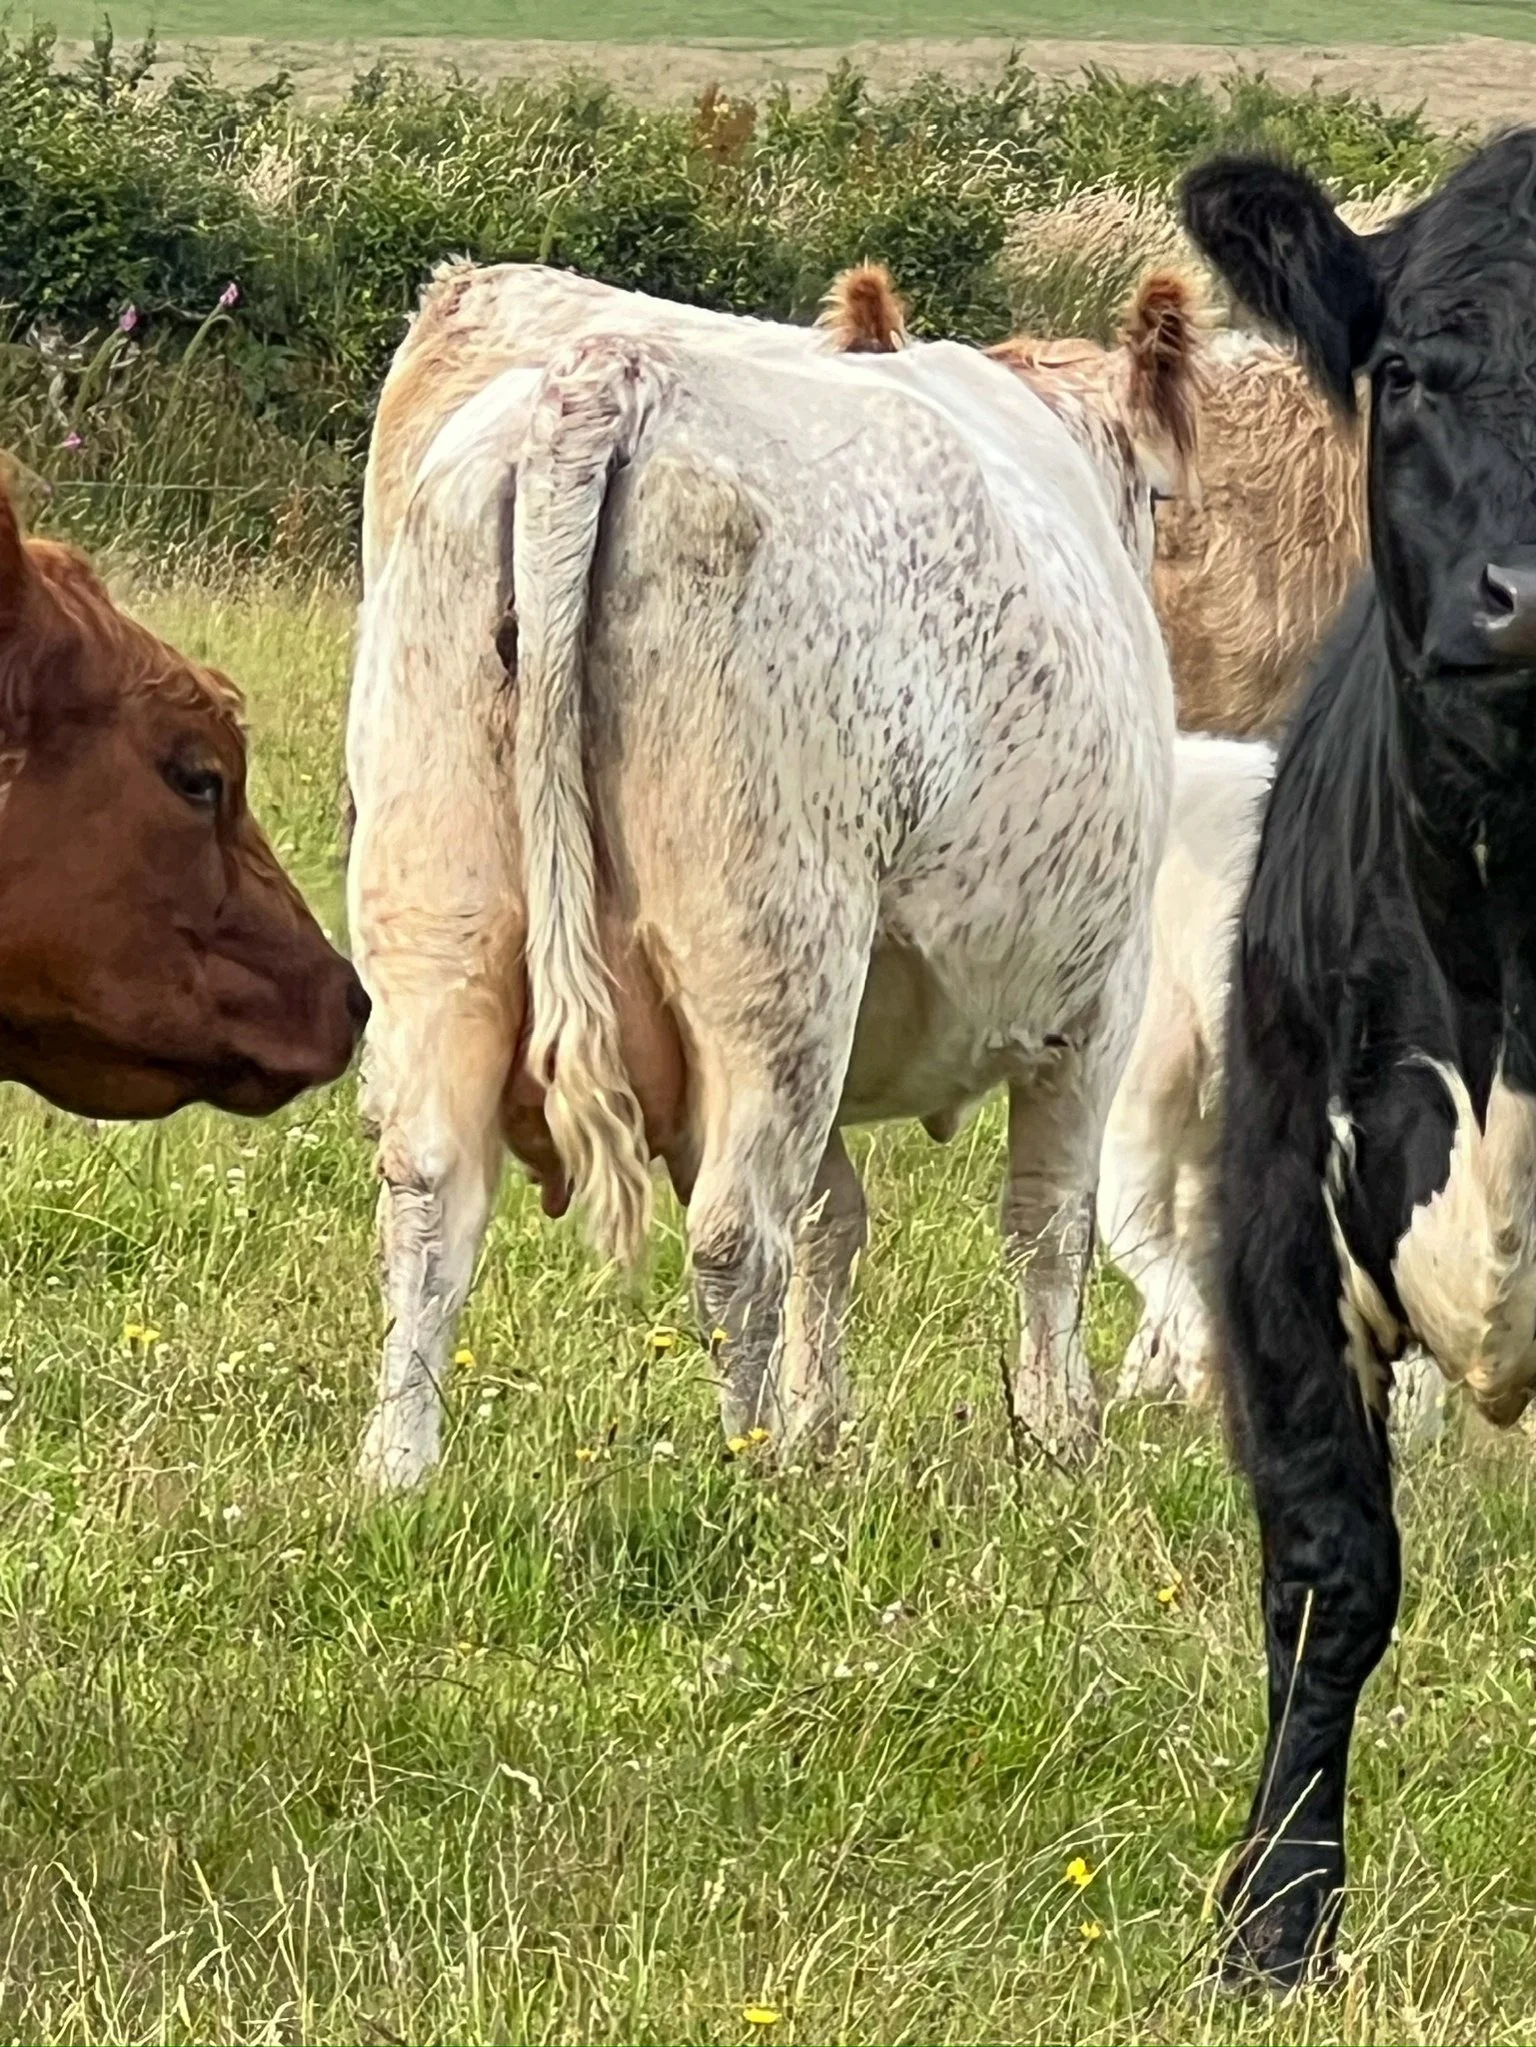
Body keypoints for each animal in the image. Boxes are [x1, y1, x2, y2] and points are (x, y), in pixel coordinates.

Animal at [345, 262, 1199, 1492]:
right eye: (1167, 499)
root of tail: (607, 377)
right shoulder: (1098, 1003)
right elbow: (1047, 1223)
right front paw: (1056, 1431)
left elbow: (834, 1220)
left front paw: (821, 1421)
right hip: (774, 960)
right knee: (733, 1231)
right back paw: (746, 1468)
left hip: (437, 919)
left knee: (430, 1196)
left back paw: (400, 1469)